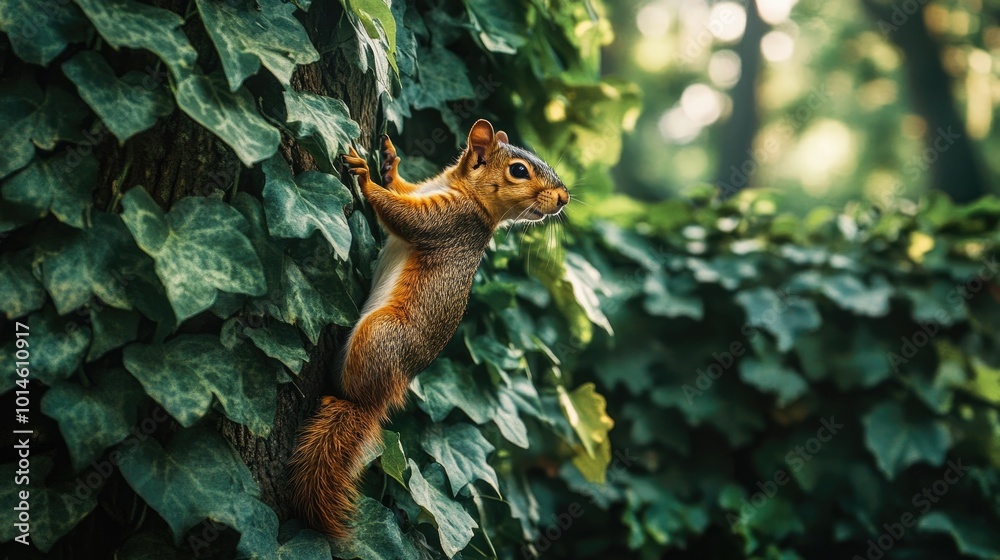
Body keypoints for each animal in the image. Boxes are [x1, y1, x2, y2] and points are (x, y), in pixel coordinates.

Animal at [289, 119, 570, 539]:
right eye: (520, 169)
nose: (565, 198)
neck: (470, 196)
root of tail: (381, 397)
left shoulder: (451, 222)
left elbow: (405, 217)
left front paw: (366, 177)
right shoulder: (427, 193)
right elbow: (403, 190)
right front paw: (389, 163)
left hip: (379, 335)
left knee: (355, 397)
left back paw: (343, 402)